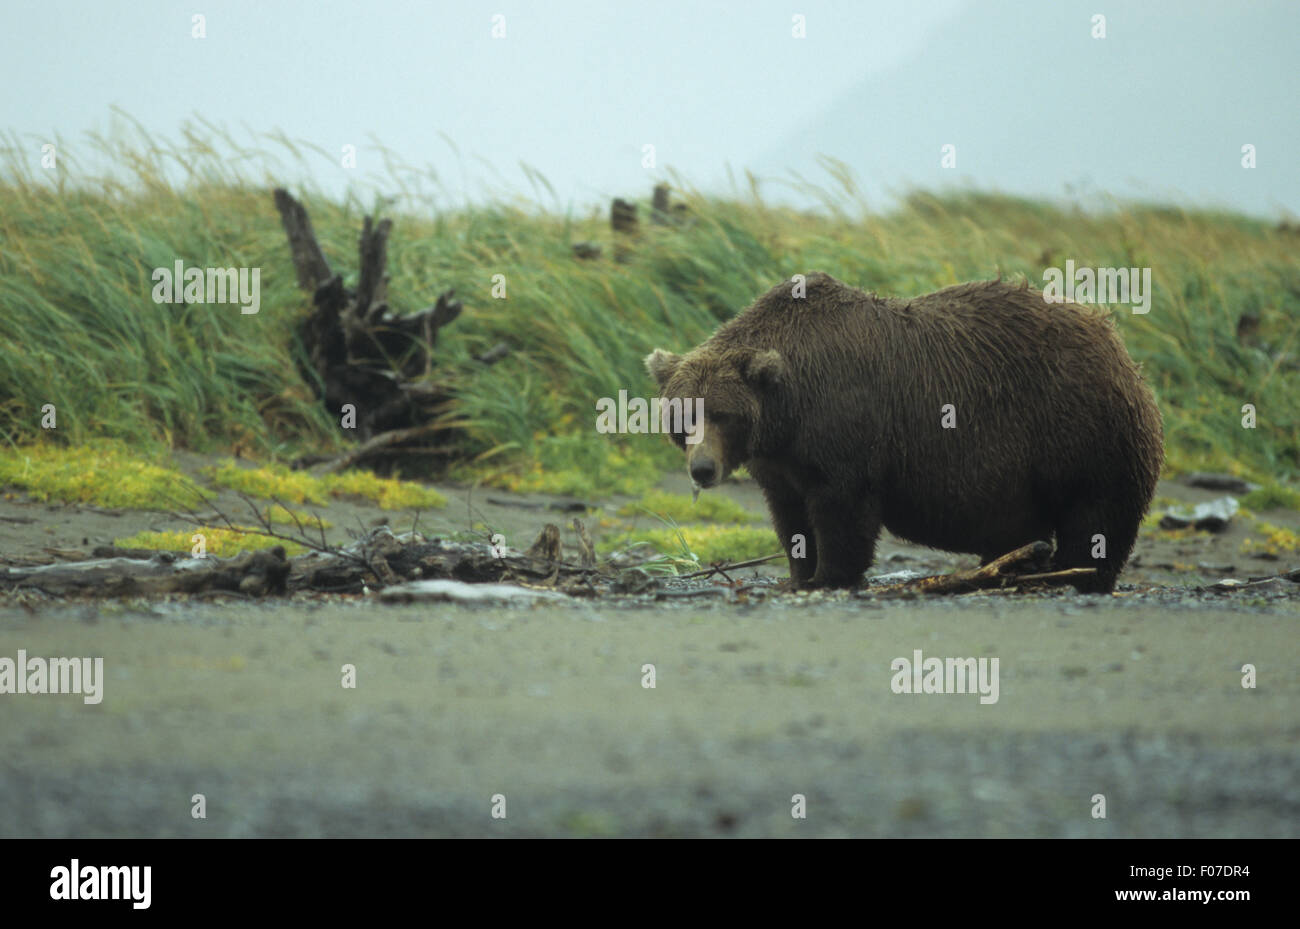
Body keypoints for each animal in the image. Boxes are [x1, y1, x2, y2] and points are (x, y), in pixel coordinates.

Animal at [645, 272, 1164, 593]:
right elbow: (790, 517)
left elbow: (843, 509)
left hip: (1081, 429)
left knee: (1095, 516)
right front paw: (800, 572)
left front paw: (831, 574)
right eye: (683, 415)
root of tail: (1115, 342)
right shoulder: (781, 462)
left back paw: (1075, 575)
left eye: (723, 414)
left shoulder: (847, 431)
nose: (703, 468)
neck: (788, 413)